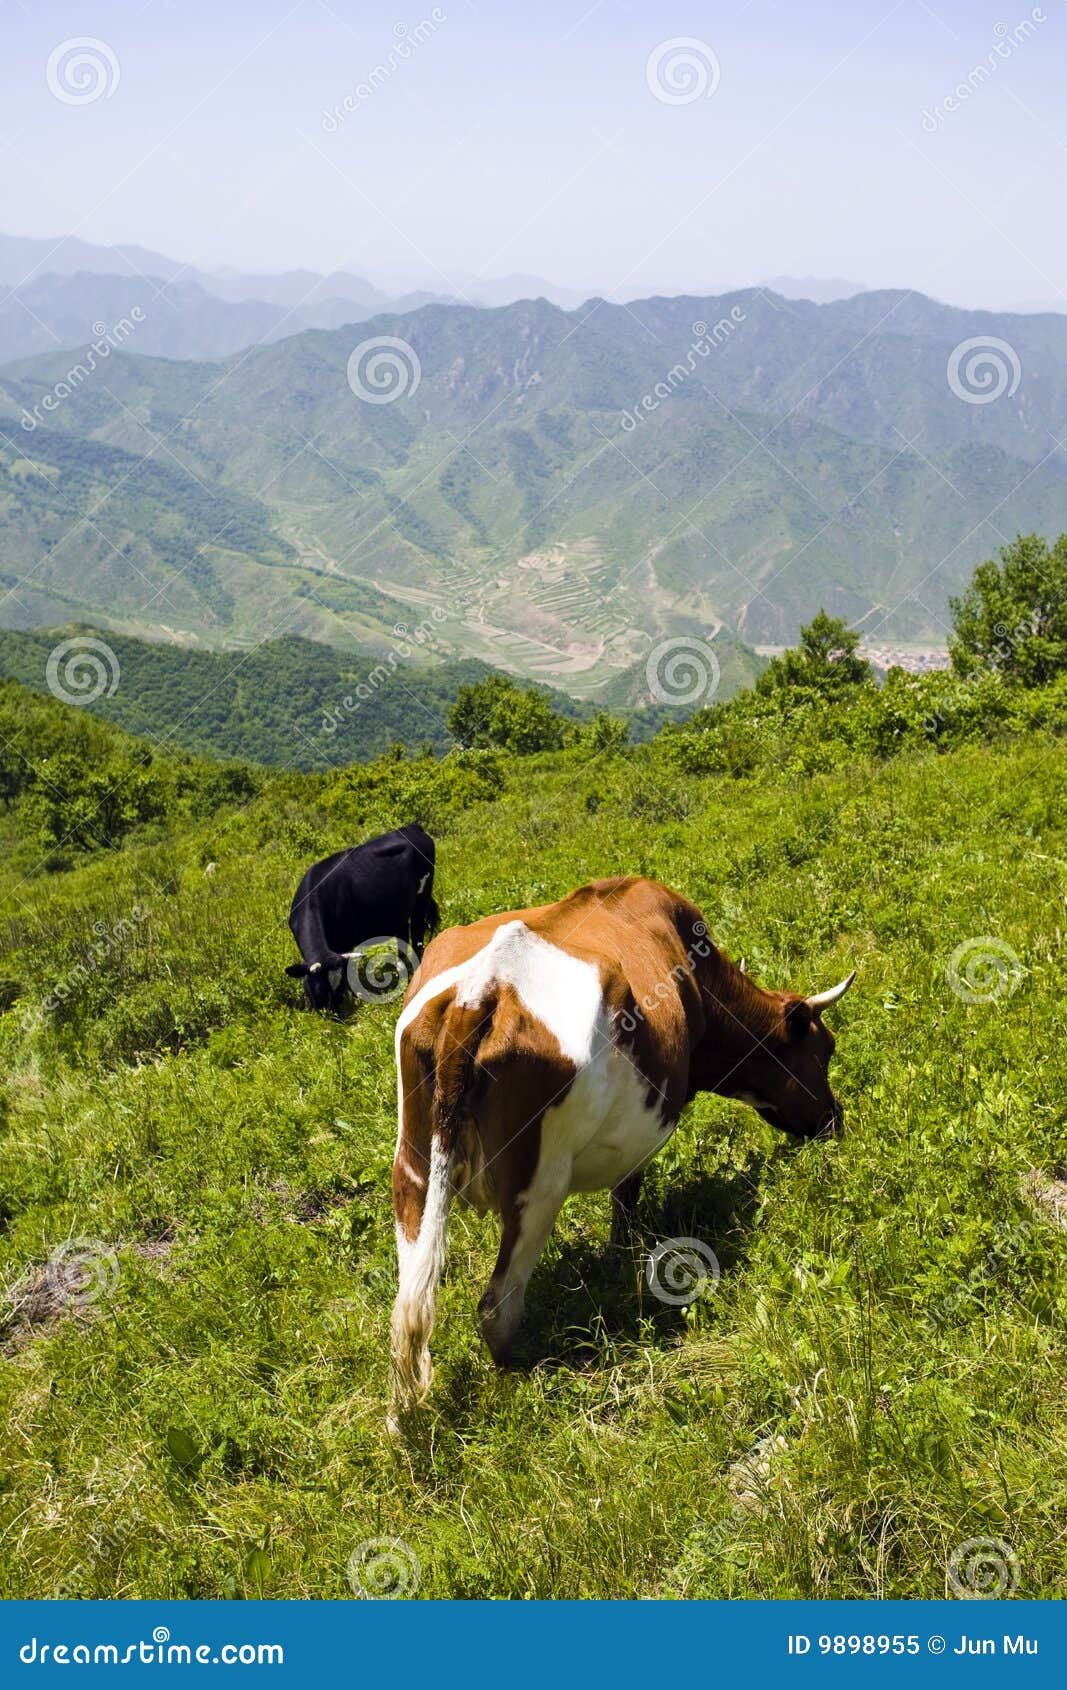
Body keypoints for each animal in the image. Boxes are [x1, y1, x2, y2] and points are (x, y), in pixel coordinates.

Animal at [286, 824, 439, 1013]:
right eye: (319, 988)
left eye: (339, 986)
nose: (334, 1014)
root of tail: (411, 827)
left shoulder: (345, 943)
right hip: (400, 912)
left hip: (421, 898)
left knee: (418, 934)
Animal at [389, 875, 854, 1418]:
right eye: (824, 1050)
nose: (834, 1121)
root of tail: (479, 991)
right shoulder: (645, 1130)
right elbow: (627, 1194)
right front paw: (624, 1255)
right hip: (539, 1186)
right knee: (495, 1308)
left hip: (414, 1169)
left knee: (407, 1315)